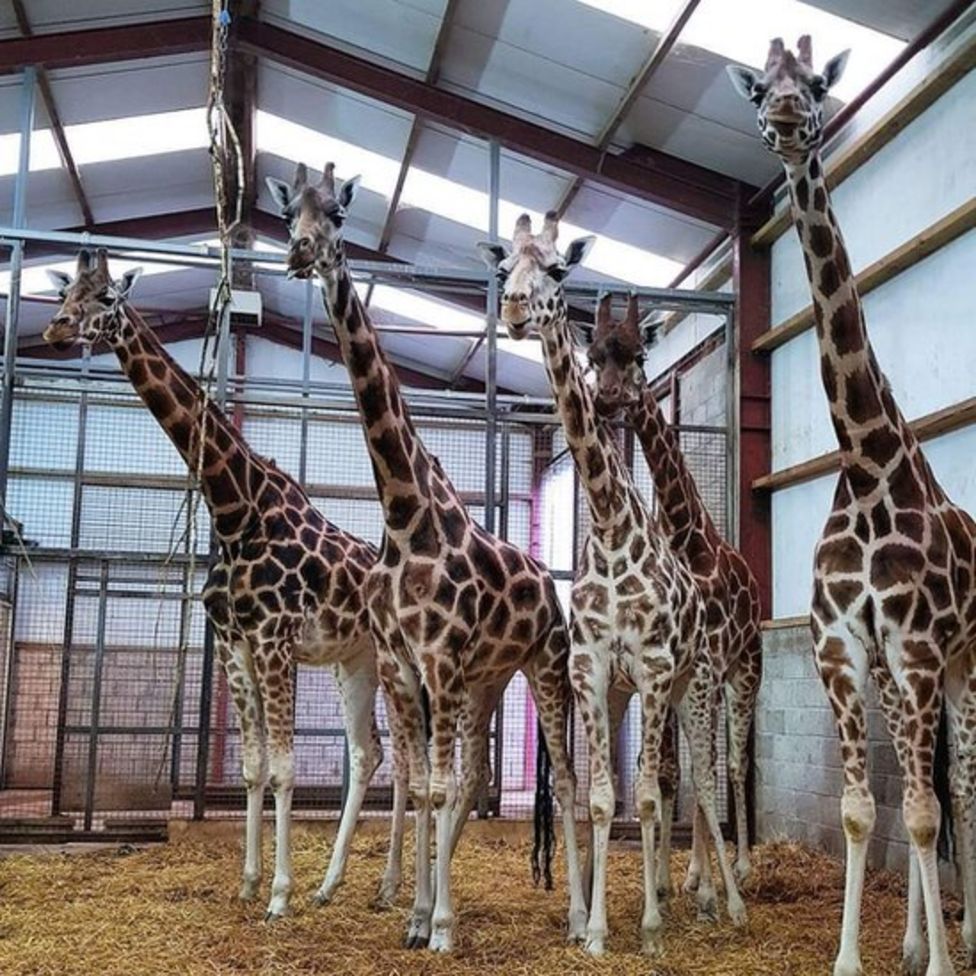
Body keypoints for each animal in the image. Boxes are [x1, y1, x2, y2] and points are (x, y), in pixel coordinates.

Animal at [42, 248, 408, 920]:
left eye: (105, 297)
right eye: (66, 293)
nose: (56, 329)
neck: (234, 511)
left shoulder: (272, 640)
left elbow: (285, 768)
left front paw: (279, 896)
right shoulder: (234, 644)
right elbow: (252, 768)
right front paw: (250, 881)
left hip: (397, 664)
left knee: (412, 761)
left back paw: (389, 886)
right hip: (354, 662)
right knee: (369, 752)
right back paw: (334, 884)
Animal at [267, 162, 586, 953]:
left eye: (338, 214)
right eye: (290, 214)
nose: (300, 253)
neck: (405, 517)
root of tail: (549, 583)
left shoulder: (437, 658)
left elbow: (432, 786)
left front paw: (439, 924)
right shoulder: (402, 660)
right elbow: (420, 785)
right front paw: (415, 914)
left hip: (544, 667)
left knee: (564, 780)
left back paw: (574, 917)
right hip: (487, 680)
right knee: (472, 779)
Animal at [584, 292, 764, 893]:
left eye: (638, 355)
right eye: (593, 355)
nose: (608, 398)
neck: (691, 541)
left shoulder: (702, 665)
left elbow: (701, 769)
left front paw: (706, 882)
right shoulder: (668, 668)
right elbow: (663, 773)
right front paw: (669, 879)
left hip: (745, 670)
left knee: (732, 762)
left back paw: (741, 867)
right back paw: (693, 872)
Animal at [729, 37, 976, 976]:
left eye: (815, 84)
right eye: (759, 87)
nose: (787, 117)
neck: (867, 465)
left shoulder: (917, 647)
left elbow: (927, 812)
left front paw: (941, 961)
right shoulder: (842, 647)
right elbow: (866, 811)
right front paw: (857, 958)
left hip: (962, 662)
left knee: (961, 787)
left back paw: (962, 935)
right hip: (907, 677)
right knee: (927, 788)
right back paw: (913, 938)